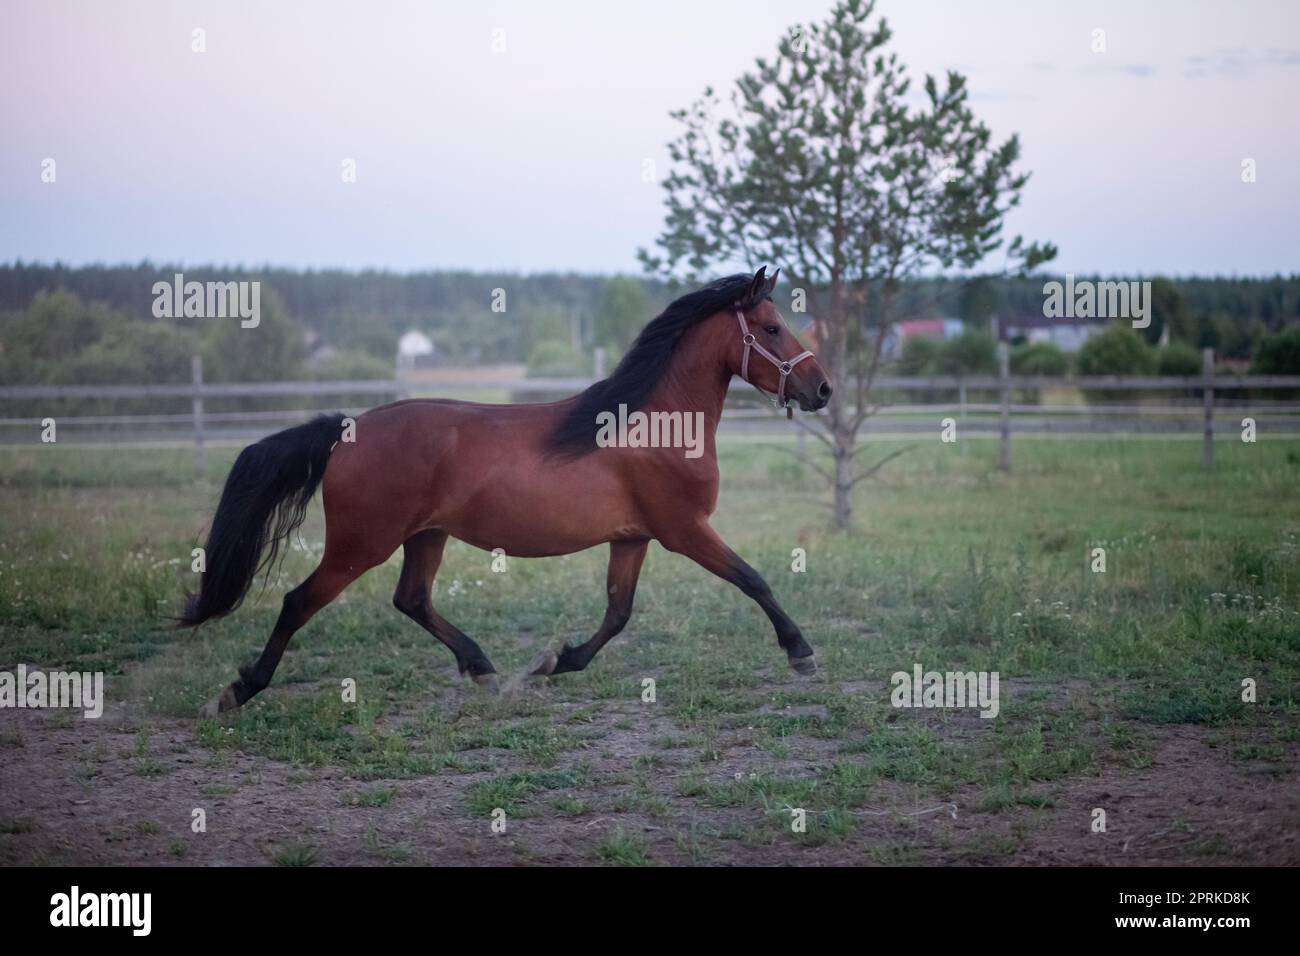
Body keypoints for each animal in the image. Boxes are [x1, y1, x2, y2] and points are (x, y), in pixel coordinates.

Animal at [180, 267, 832, 717]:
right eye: (772, 327)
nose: (822, 389)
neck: (656, 424)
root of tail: (346, 431)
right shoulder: (684, 529)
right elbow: (753, 579)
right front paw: (800, 651)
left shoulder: (634, 537)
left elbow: (617, 613)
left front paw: (552, 663)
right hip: (360, 544)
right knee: (299, 602)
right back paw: (237, 691)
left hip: (426, 536)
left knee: (411, 599)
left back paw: (484, 668)